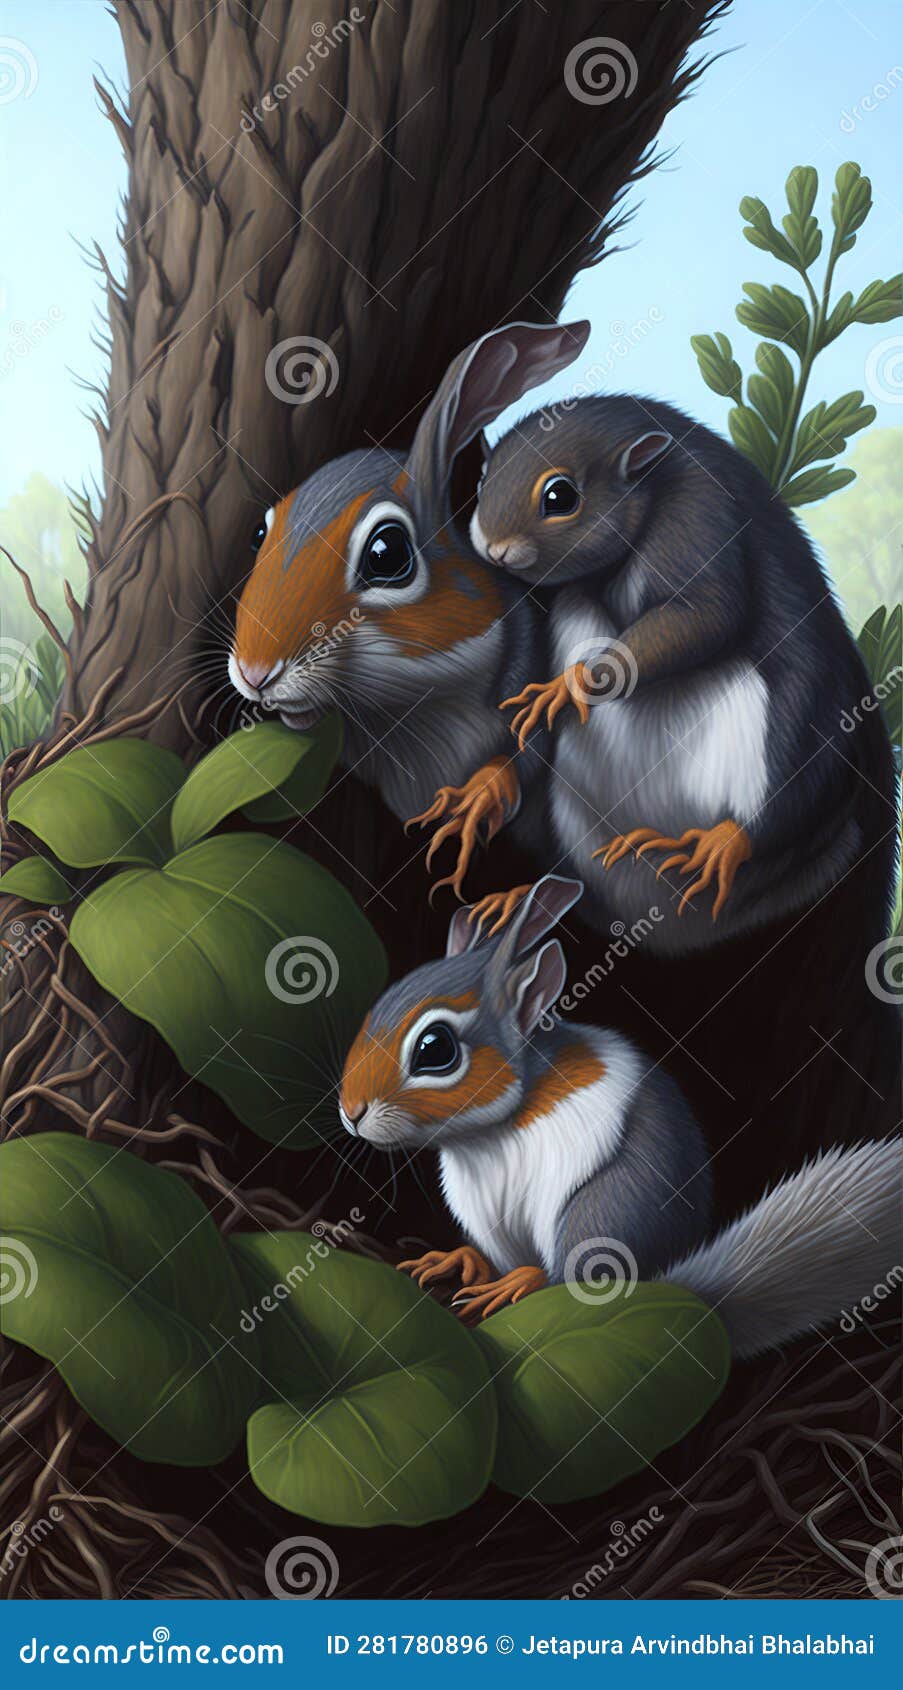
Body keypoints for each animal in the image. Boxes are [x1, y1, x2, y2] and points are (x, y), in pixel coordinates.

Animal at [338, 874, 900, 1357]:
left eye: (435, 1048)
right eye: (379, 1004)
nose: (350, 1112)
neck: (487, 1133)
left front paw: (510, 1280)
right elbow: (482, 1255)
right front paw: (452, 1258)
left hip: (597, 1215)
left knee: (568, 1276)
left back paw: (522, 1281)